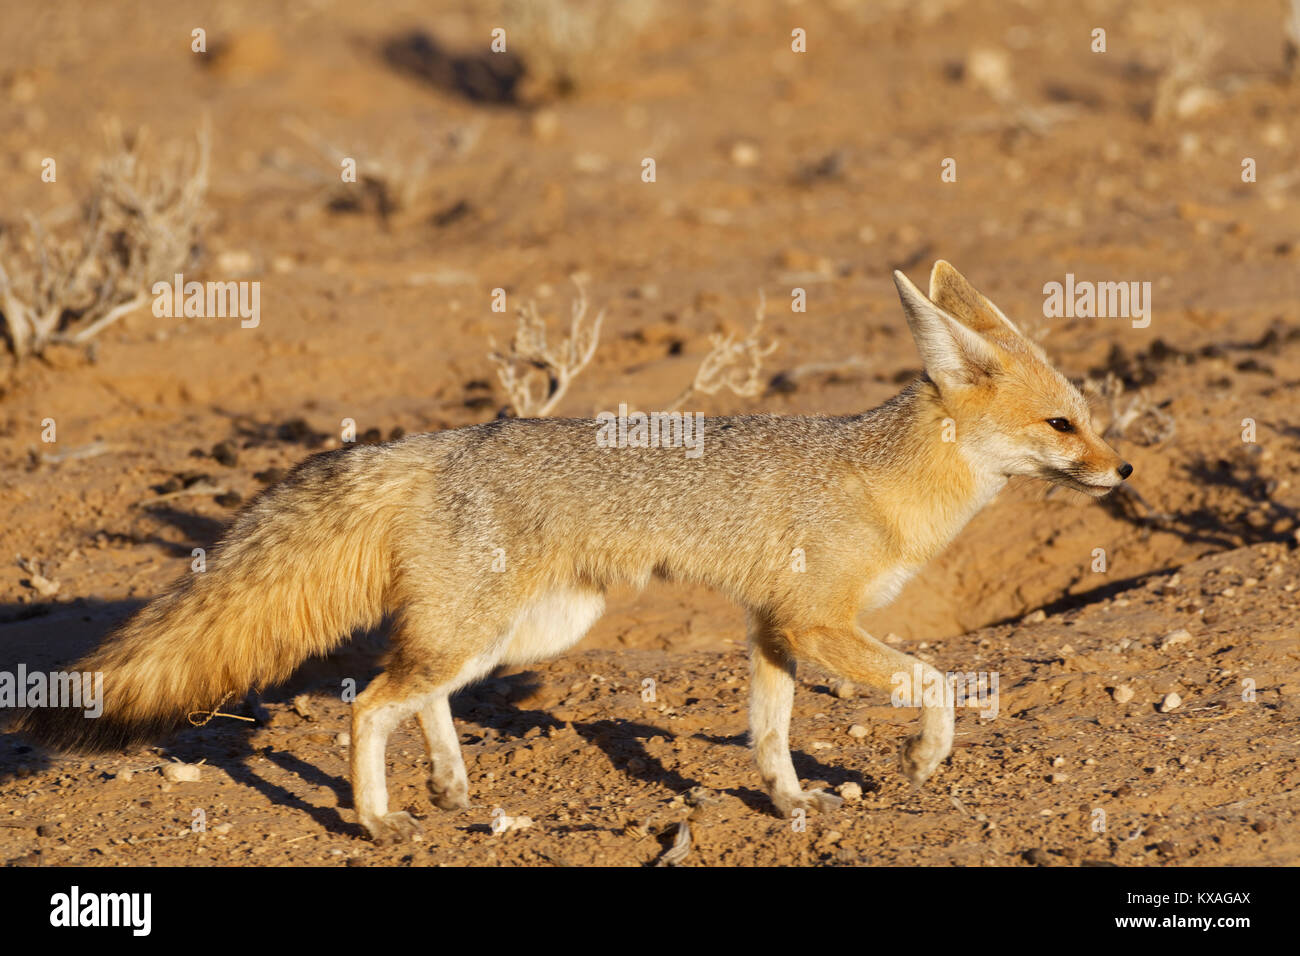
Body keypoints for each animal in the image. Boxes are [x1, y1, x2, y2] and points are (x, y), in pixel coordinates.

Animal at [11, 261, 1131, 843]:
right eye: (1063, 425)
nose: (1123, 470)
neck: (887, 474)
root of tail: (442, 442)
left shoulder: (773, 630)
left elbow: (770, 731)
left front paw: (788, 801)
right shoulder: (816, 622)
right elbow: (938, 680)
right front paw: (926, 756)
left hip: (518, 632)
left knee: (416, 695)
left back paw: (453, 789)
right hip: (491, 629)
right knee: (371, 704)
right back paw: (377, 821)